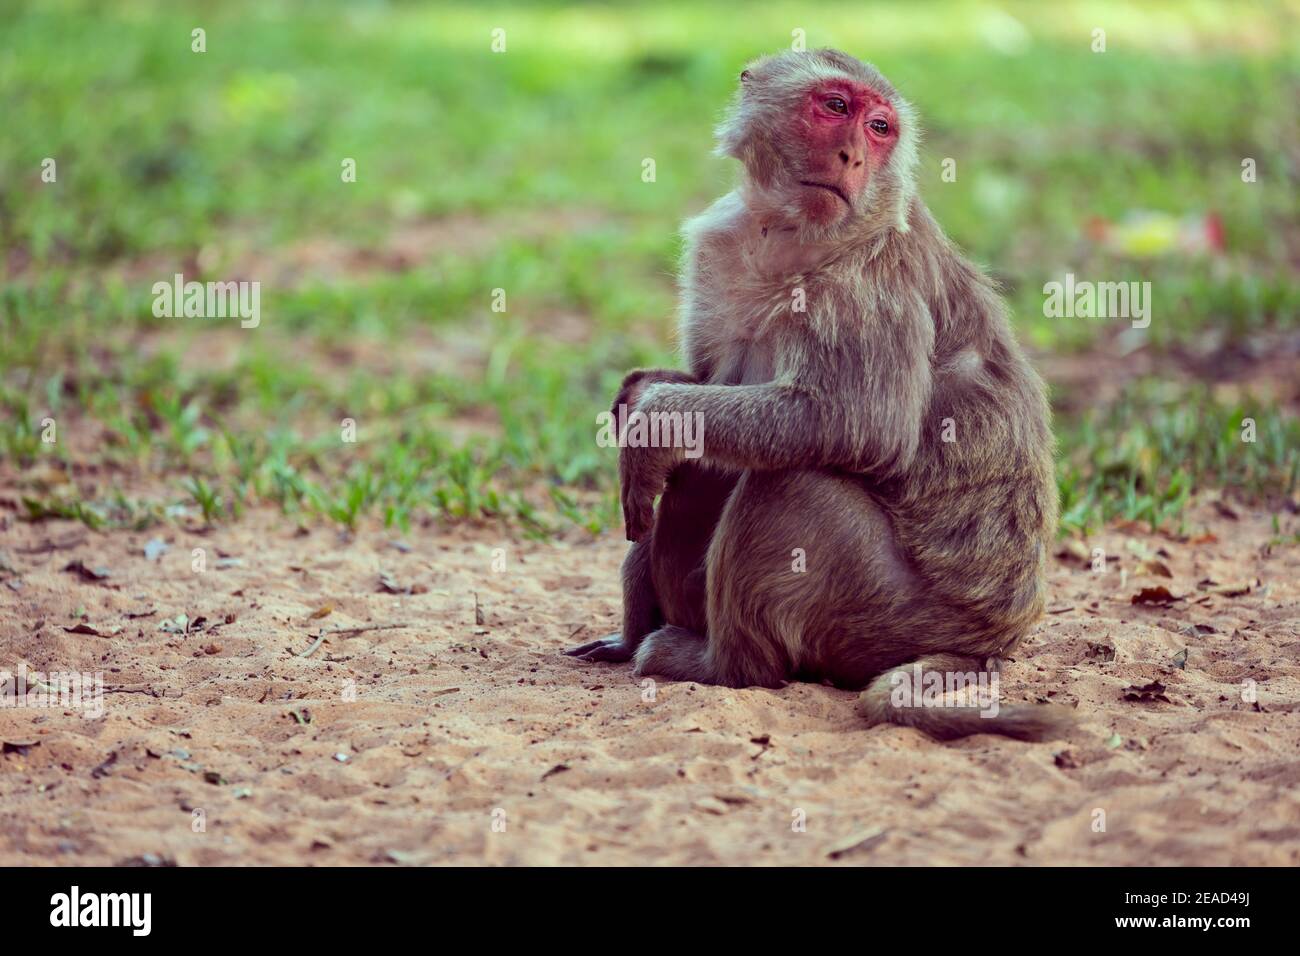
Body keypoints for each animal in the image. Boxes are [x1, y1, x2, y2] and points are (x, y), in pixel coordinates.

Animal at [566, 48, 1073, 741]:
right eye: (835, 107)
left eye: (880, 127)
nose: (852, 157)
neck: (789, 235)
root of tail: (990, 641)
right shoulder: (718, 246)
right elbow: (707, 391)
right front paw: (641, 394)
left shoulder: (870, 282)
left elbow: (855, 425)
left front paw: (649, 419)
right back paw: (631, 637)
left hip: (887, 614)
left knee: (793, 481)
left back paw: (722, 664)